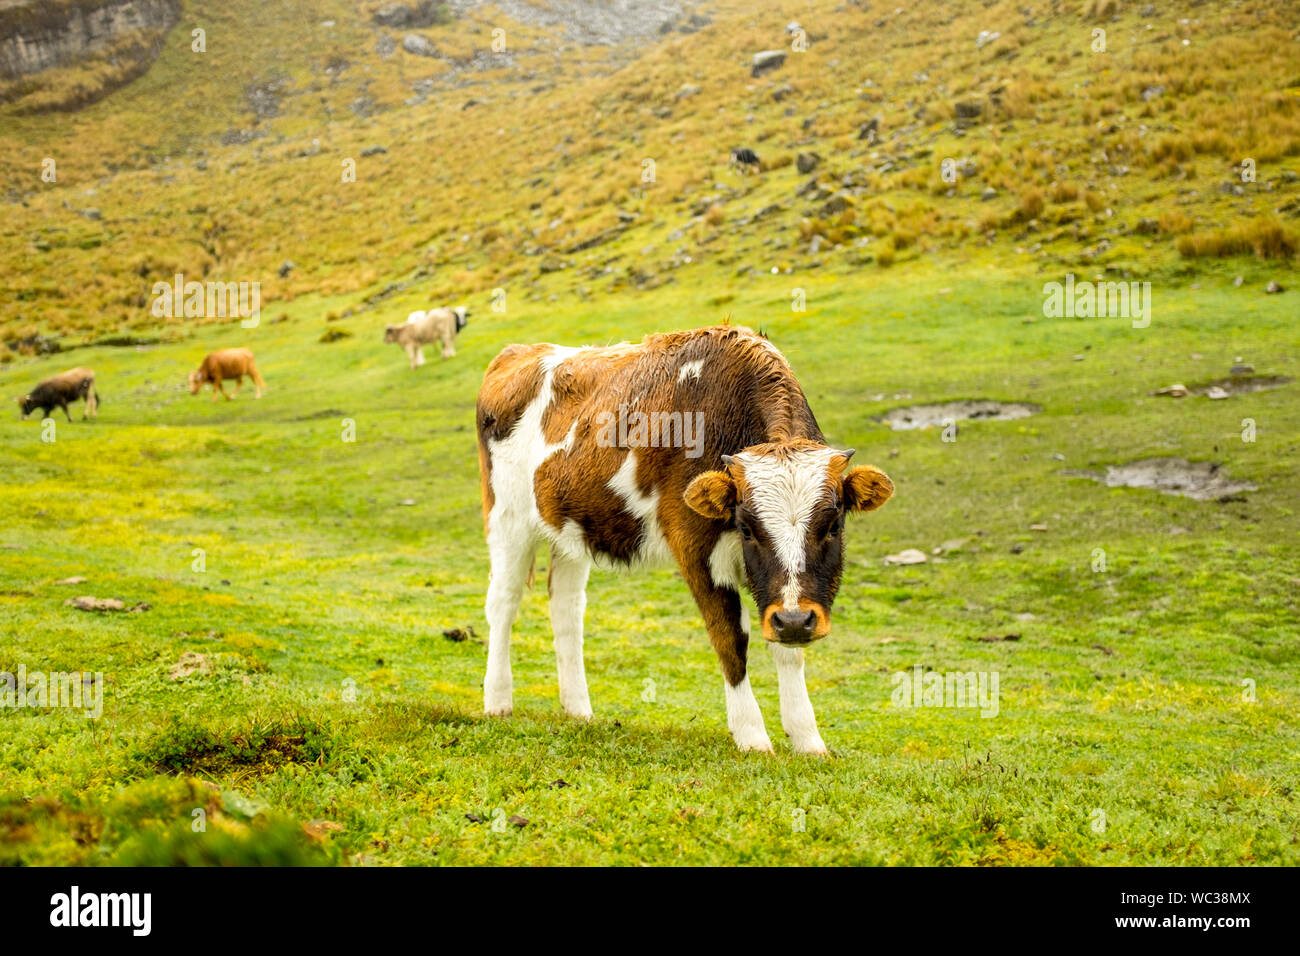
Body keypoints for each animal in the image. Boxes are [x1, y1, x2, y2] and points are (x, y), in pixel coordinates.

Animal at [475, 324, 894, 754]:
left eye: (834, 525)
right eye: (747, 528)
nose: (796, 620)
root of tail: (521, 351)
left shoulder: (781, 596)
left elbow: (786, 649)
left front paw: (807, 738)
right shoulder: (695, 548)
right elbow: (730, 637)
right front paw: (752, 735)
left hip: (571, 529)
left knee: (566, 608)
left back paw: (578, 709)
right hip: (507, 519)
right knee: (503, 603)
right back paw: (498, 700)